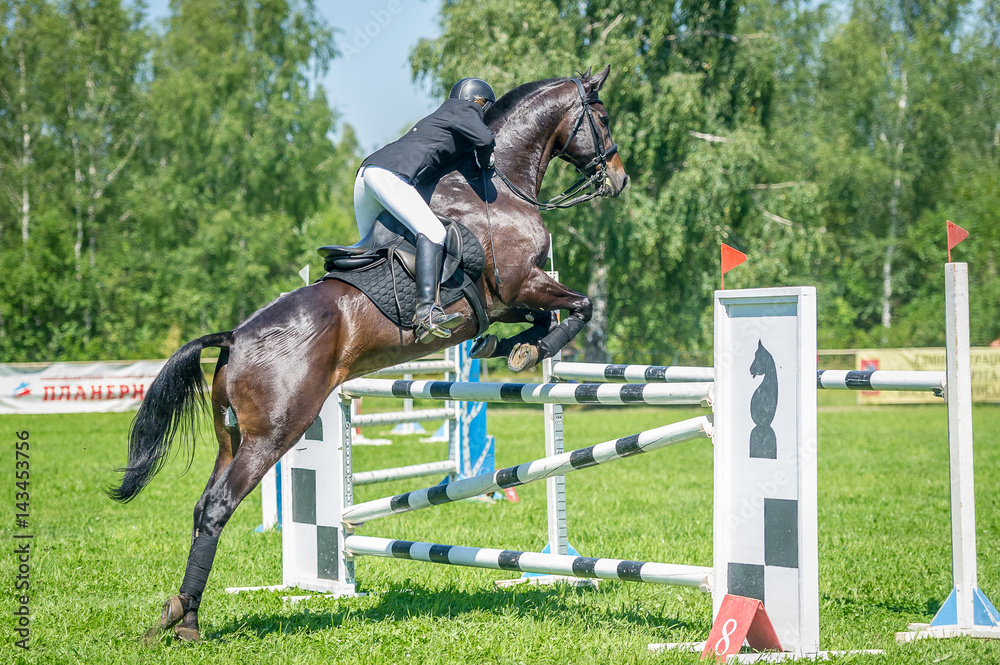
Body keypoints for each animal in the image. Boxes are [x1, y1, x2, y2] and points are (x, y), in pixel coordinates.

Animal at [111, 65, 629, 644]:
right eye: (603, 118)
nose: (619, 178)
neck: (498, 191)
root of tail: (235, 338)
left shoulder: (508, 300)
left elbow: (540, 320)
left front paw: (510, 348)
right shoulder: (521, 283)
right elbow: (578, 307)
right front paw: (529, 350)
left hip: (232, 438)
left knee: (204, 506)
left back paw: (179, 612)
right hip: (276, 432)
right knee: (219, 507)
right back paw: (189, 622)